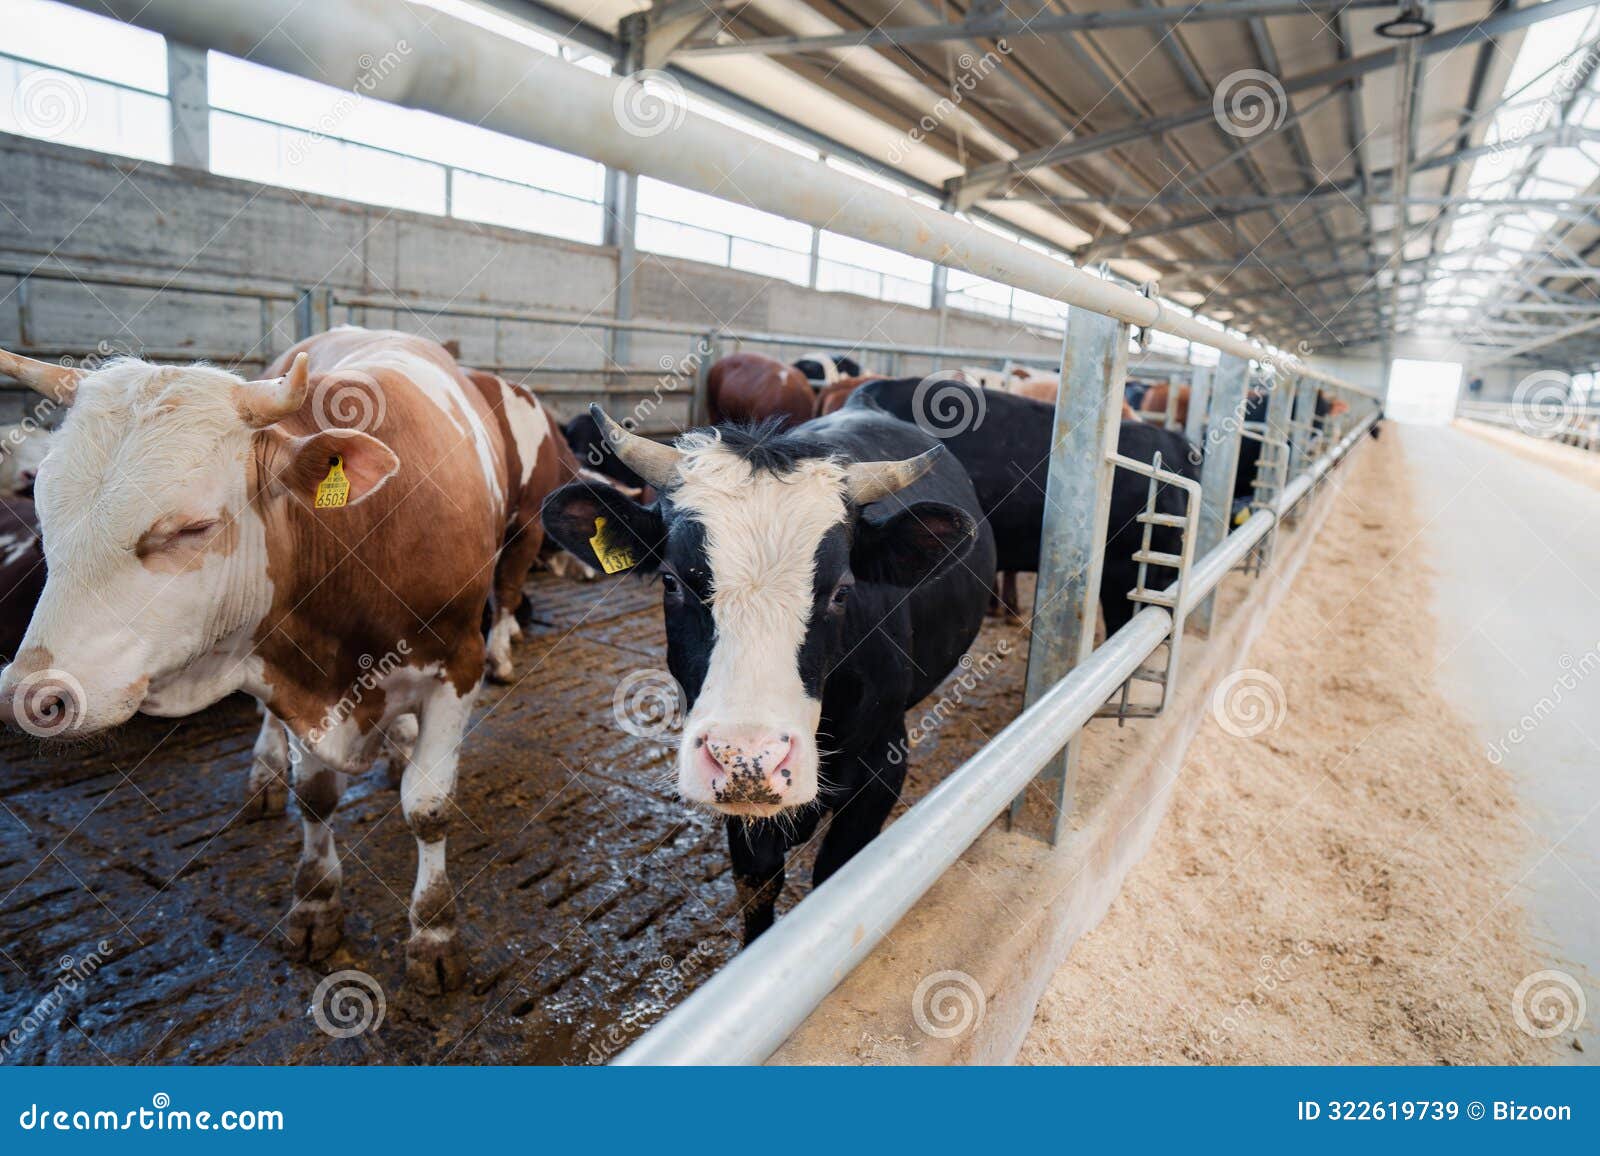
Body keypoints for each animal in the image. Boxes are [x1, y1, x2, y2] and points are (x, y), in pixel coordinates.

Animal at [0, 328, 575, 992]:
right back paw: (266, 772)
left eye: (192, 528)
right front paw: (316, 904)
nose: (31, 695)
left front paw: (433, 933)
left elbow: (428, 809)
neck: (357, 540)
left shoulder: (458, 663)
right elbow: (316, 799)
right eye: (43, 510)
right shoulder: (295, 677)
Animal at [541, 405, 995, 943]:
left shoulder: (884, 762)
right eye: (671, 581)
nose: (748, 759)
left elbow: (832, 875)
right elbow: (757, 883)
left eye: (842, 591)